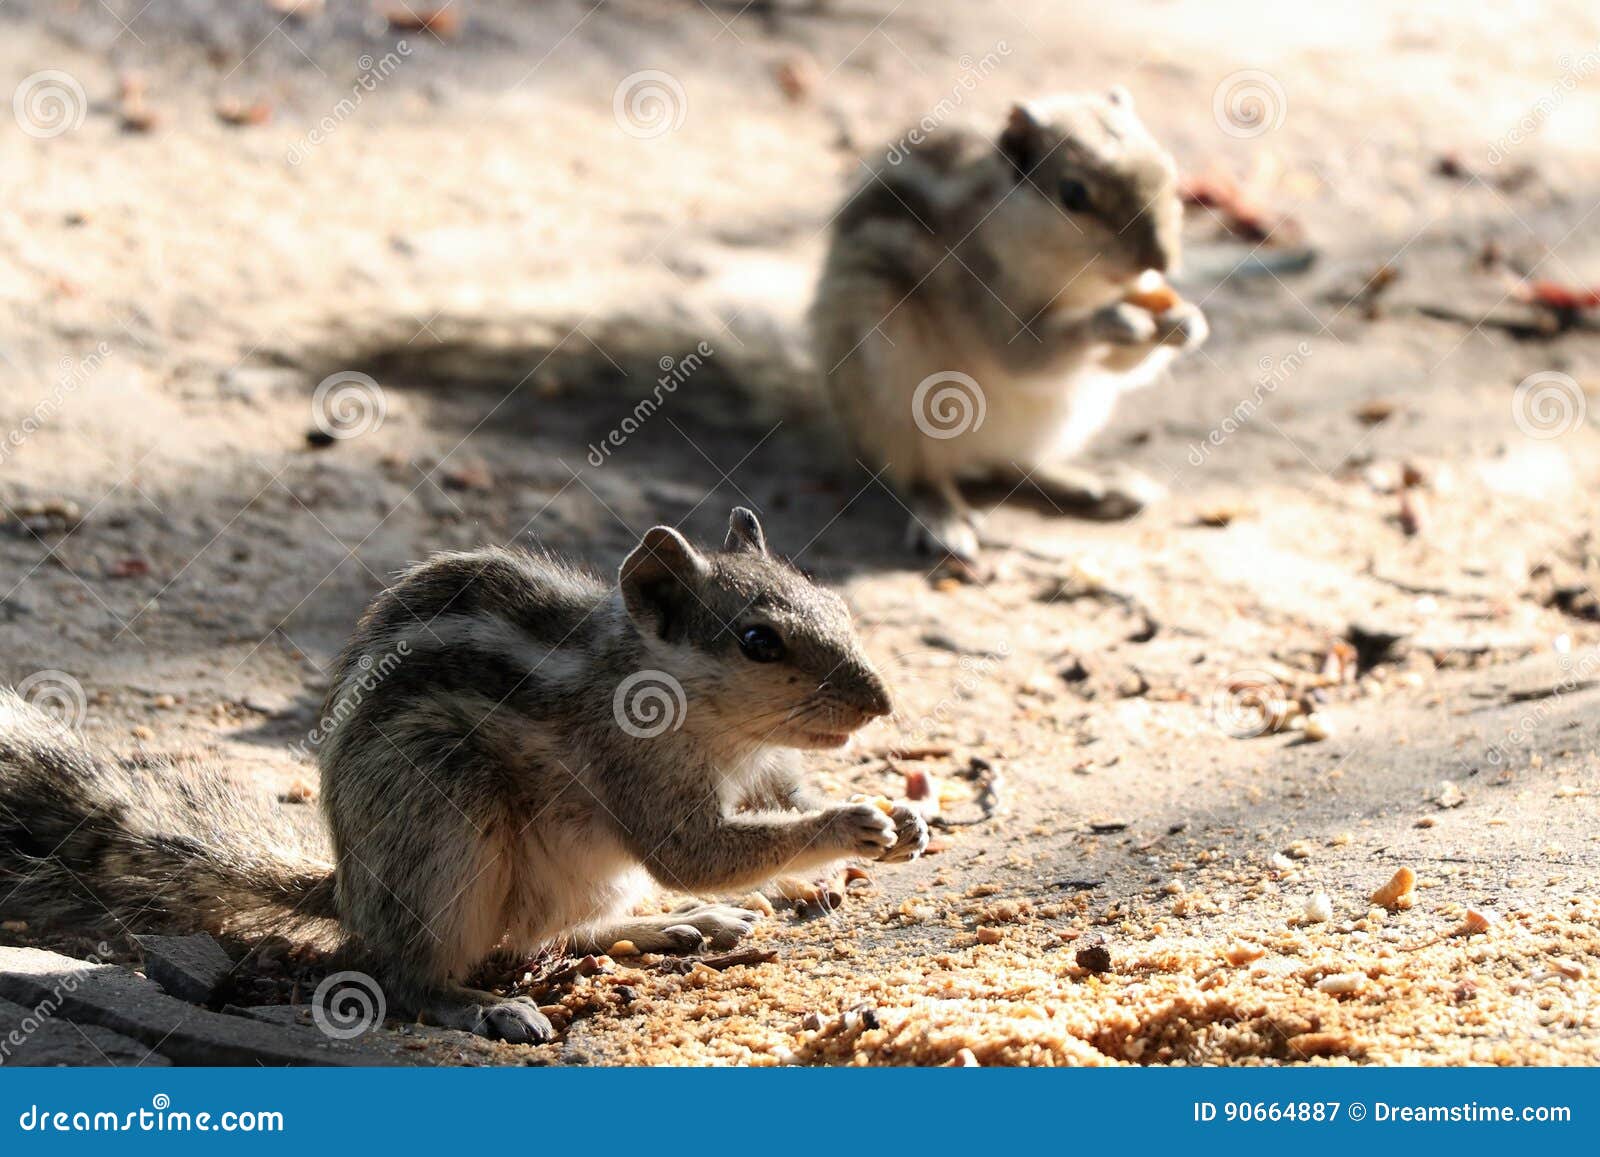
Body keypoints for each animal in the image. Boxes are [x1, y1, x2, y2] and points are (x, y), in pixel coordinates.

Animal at [0, 507, 927, 1044]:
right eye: (759, 641)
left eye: (834, 603)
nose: (881, 701)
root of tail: (346, 892)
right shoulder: (633, 768)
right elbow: (694, 852)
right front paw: (853, 825)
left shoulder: (762, 762)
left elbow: (780, 796)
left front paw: (905, 823)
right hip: (440, 821)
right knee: (411, 974)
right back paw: (478, 1006)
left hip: (573, 875)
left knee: (554, 932)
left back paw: (675, 925)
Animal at [810, 89, 1209, 560]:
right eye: (1073, 194)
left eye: (1169, 171)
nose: (1160, 261)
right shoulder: (984, 296)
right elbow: (1024, 355)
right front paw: (1114, 319)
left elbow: (1119, 364)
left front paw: (1186, 321)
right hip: (891, 386)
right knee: (919, 473)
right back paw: (945, 521)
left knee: (1011, 464)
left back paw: (1097, 485)